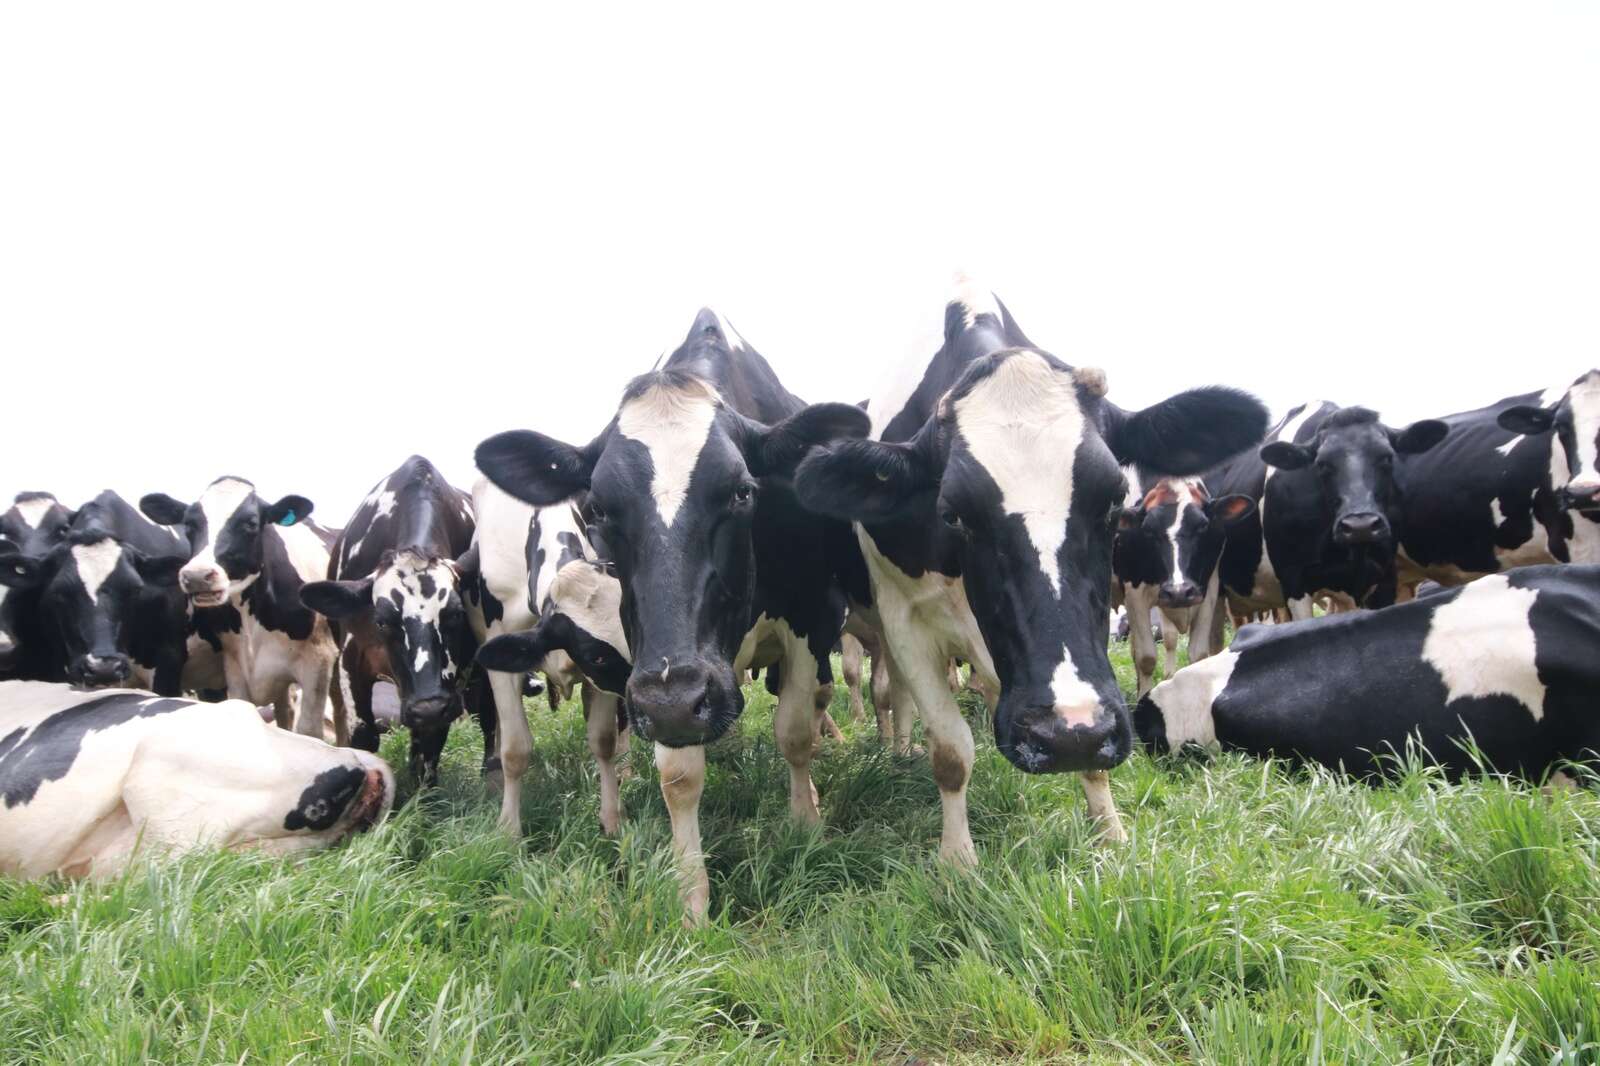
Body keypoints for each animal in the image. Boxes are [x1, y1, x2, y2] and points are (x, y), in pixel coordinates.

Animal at [139, 478, 341, 740]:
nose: (196, 576)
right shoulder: (235, 665)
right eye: (189, 524)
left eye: (251, 523)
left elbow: (309, 731)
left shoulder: (318, 660)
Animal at [298, 456, 489, 783]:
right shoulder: (351, 659)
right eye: (382, 622)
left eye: (455, 615)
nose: (429, 706)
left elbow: (432, 739)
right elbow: (362, 734)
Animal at [464, 479, 633, 836]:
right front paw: (509, 830)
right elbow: (515, 749)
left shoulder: (599, 685)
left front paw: (612, 818)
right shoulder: (501, 657)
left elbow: (603, 740)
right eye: (596, 657)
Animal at [1112, 474, 1255, 696]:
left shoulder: (1208, 589)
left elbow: (1198, 655)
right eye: (1148, 530)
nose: (1179, 591)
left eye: (1203, 525)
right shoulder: (1134, 592)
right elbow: (1146, 657)